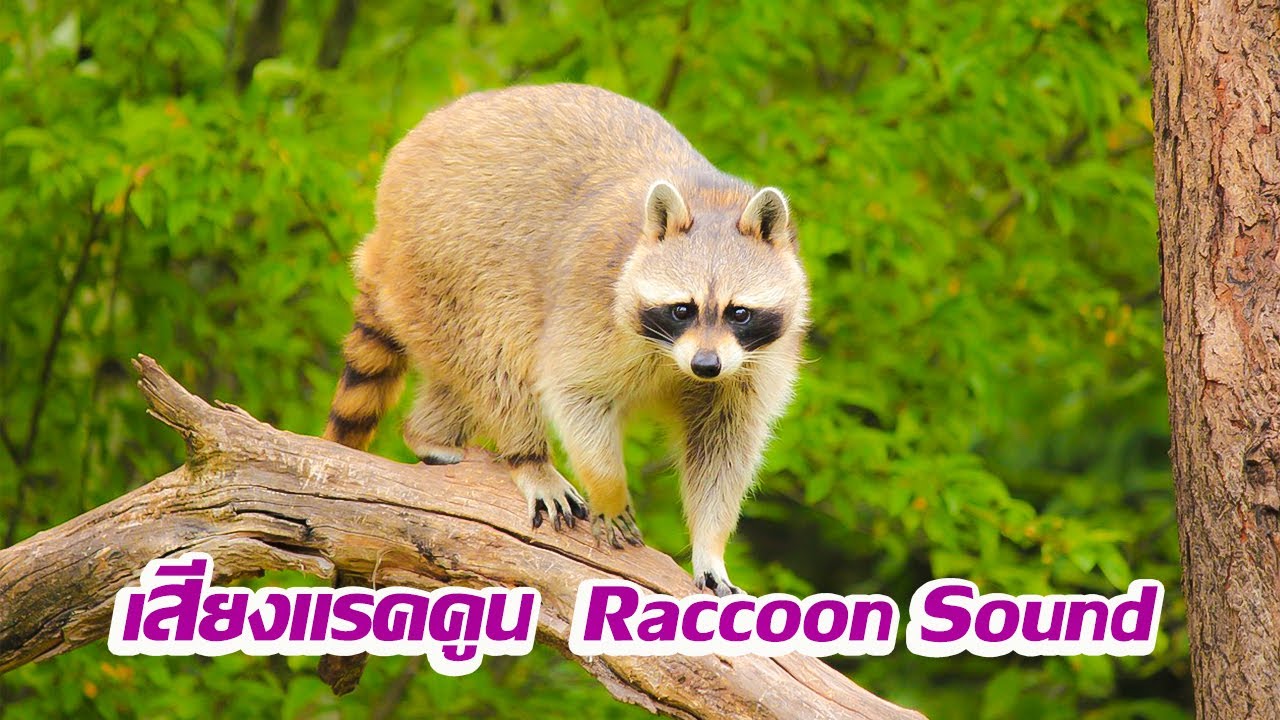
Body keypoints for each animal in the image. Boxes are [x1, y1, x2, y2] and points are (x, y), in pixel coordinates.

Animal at [324, 83, 809, 595]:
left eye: (739, 312)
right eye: (683, 309)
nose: (706, 366)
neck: (712, 199)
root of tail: (385, 226)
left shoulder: (755, 362)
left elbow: (724, 446)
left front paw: (710, 545)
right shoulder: (591, 299)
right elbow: (574, 392)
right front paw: (609, 488)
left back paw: (429, 433)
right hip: (447, 259)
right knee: (500, 356)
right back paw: (528, 457)